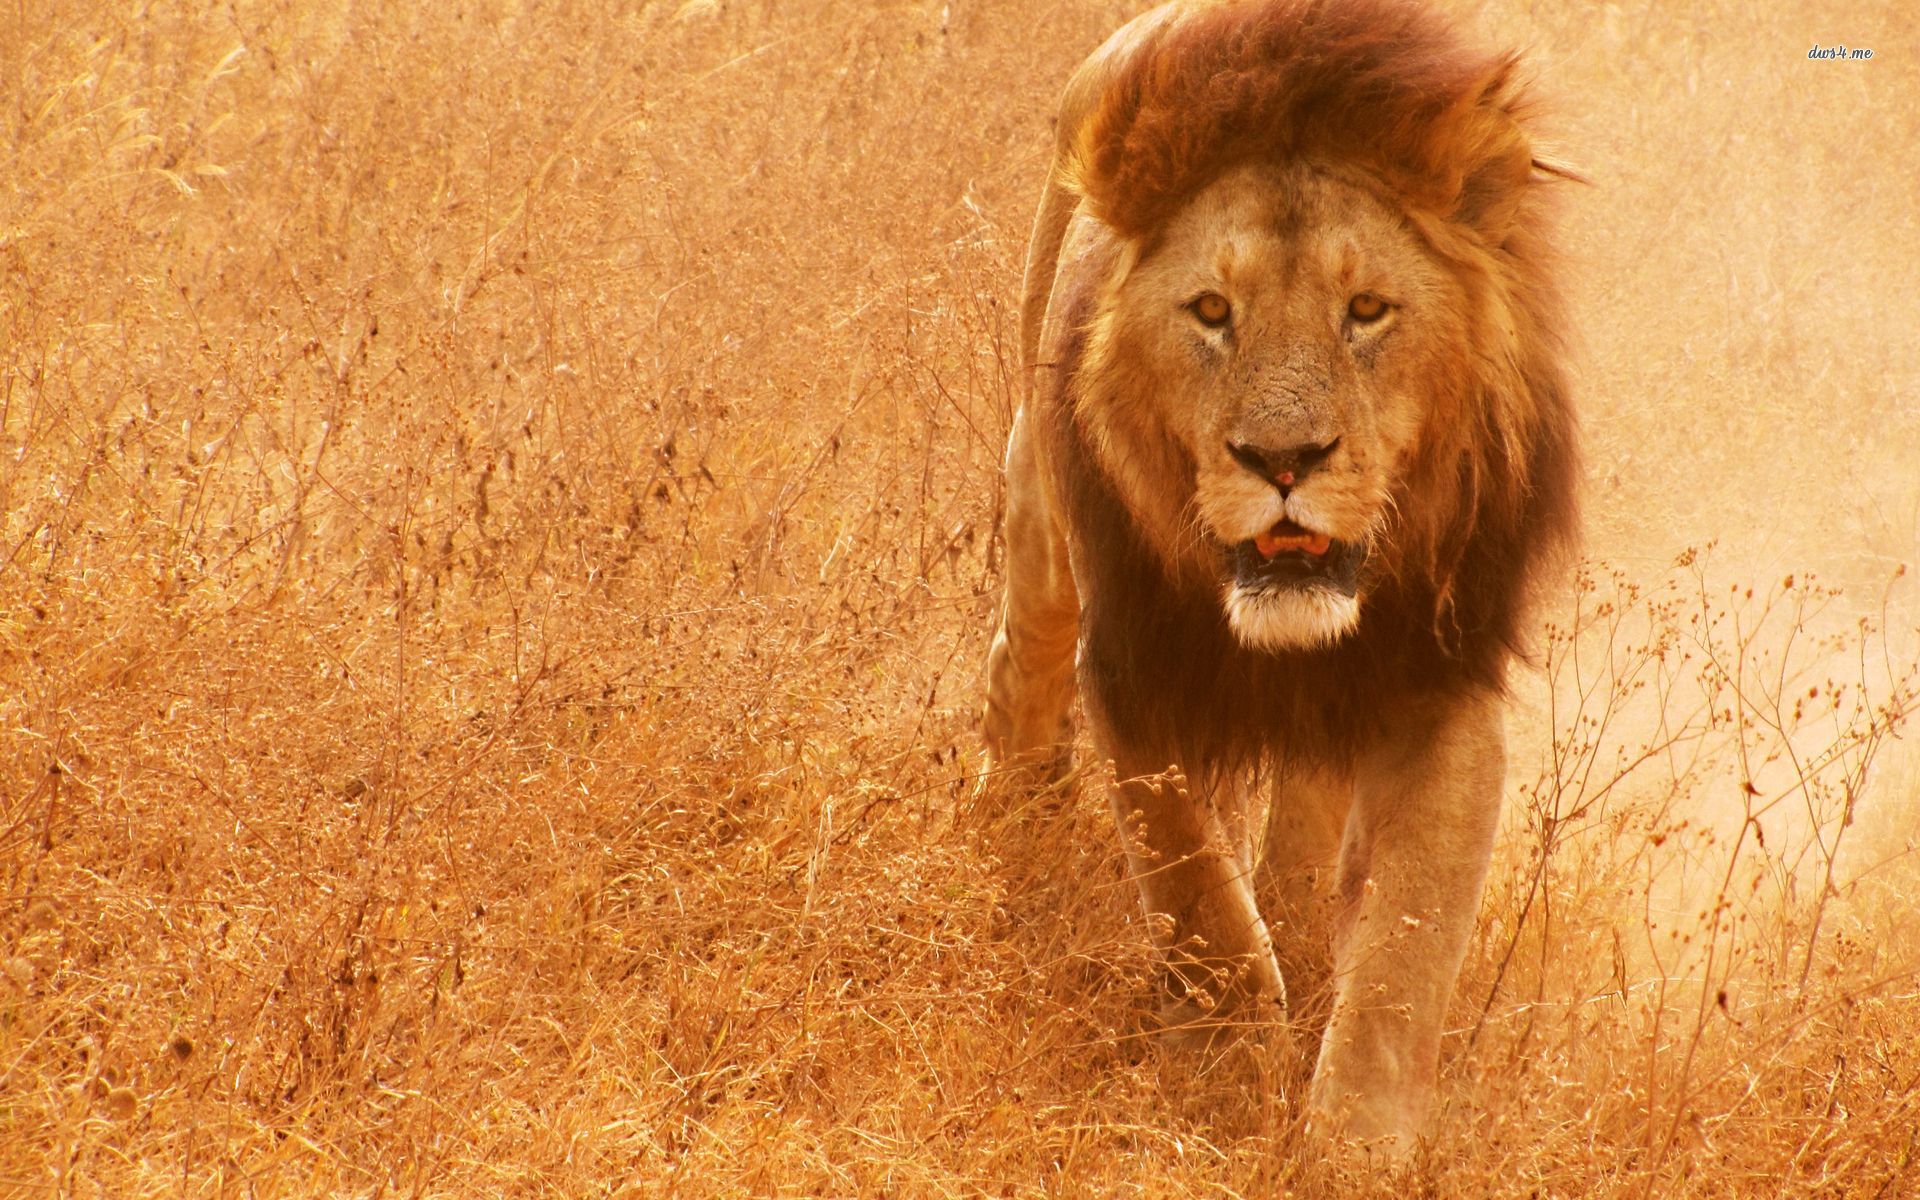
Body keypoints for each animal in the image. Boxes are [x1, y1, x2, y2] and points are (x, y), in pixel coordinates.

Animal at [981, 0, 1579, 1155]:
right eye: (1212, 310)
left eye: (1368, 310)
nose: (1285, 459)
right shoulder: (1133, 671)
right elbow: (1198, 896)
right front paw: (1220, 1085)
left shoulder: (1442, 687)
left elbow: (1403, 950)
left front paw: (1356, 1145)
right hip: (1039, 499)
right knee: (1021, 651)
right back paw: (1008, 827)